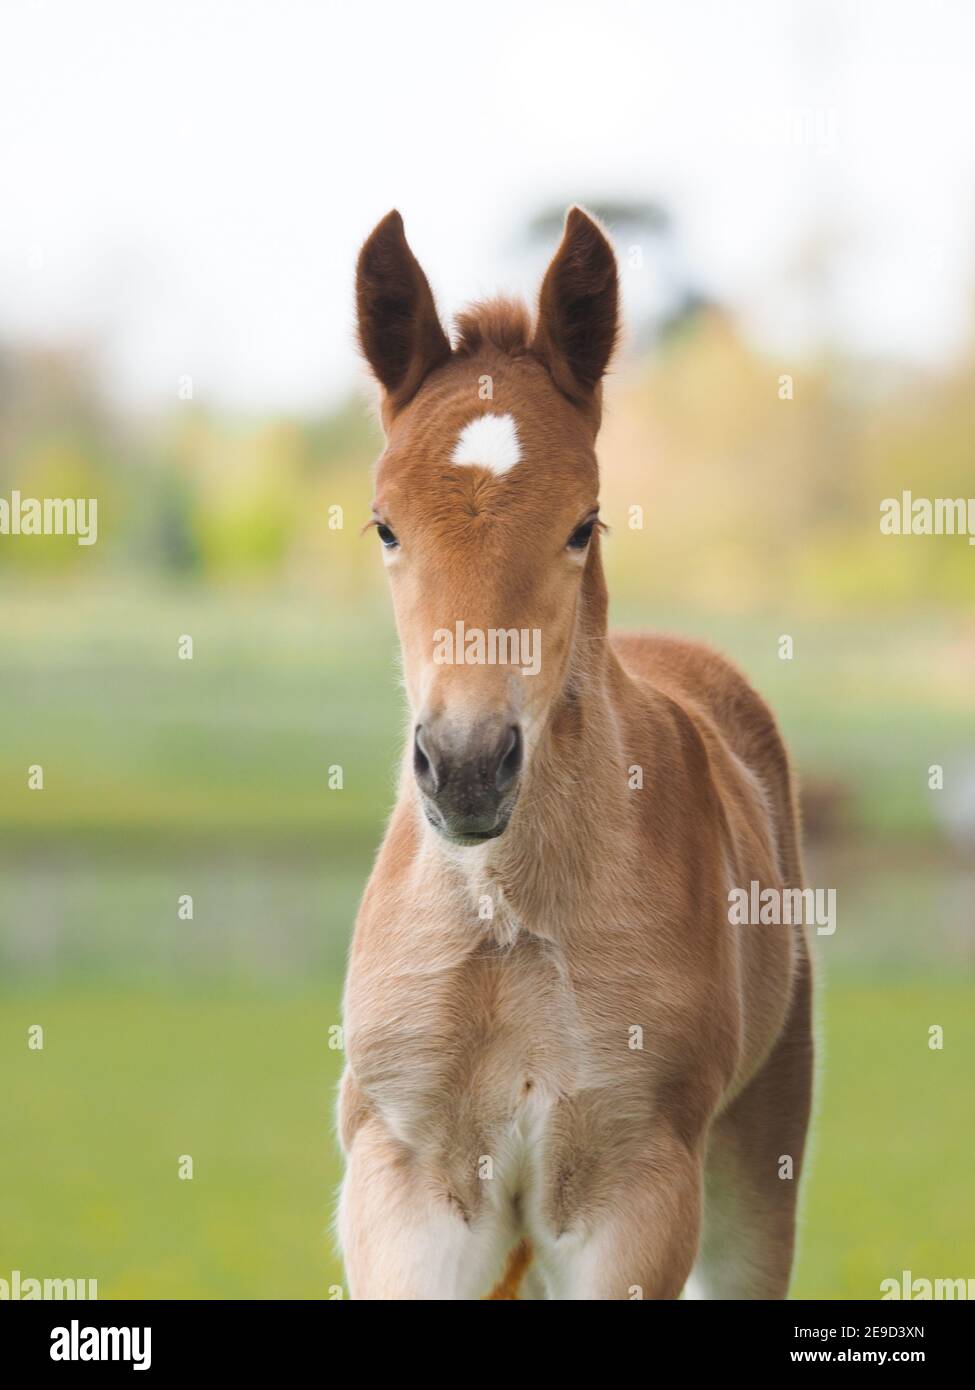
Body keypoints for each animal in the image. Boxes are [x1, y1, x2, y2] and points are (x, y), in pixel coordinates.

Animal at [337, 207, 814, 1299]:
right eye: (385, 525)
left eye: (581, 524)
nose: (467, 766)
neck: (509, 922)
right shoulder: (404, 1179)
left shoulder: (632, 1192)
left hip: (757, 1165)